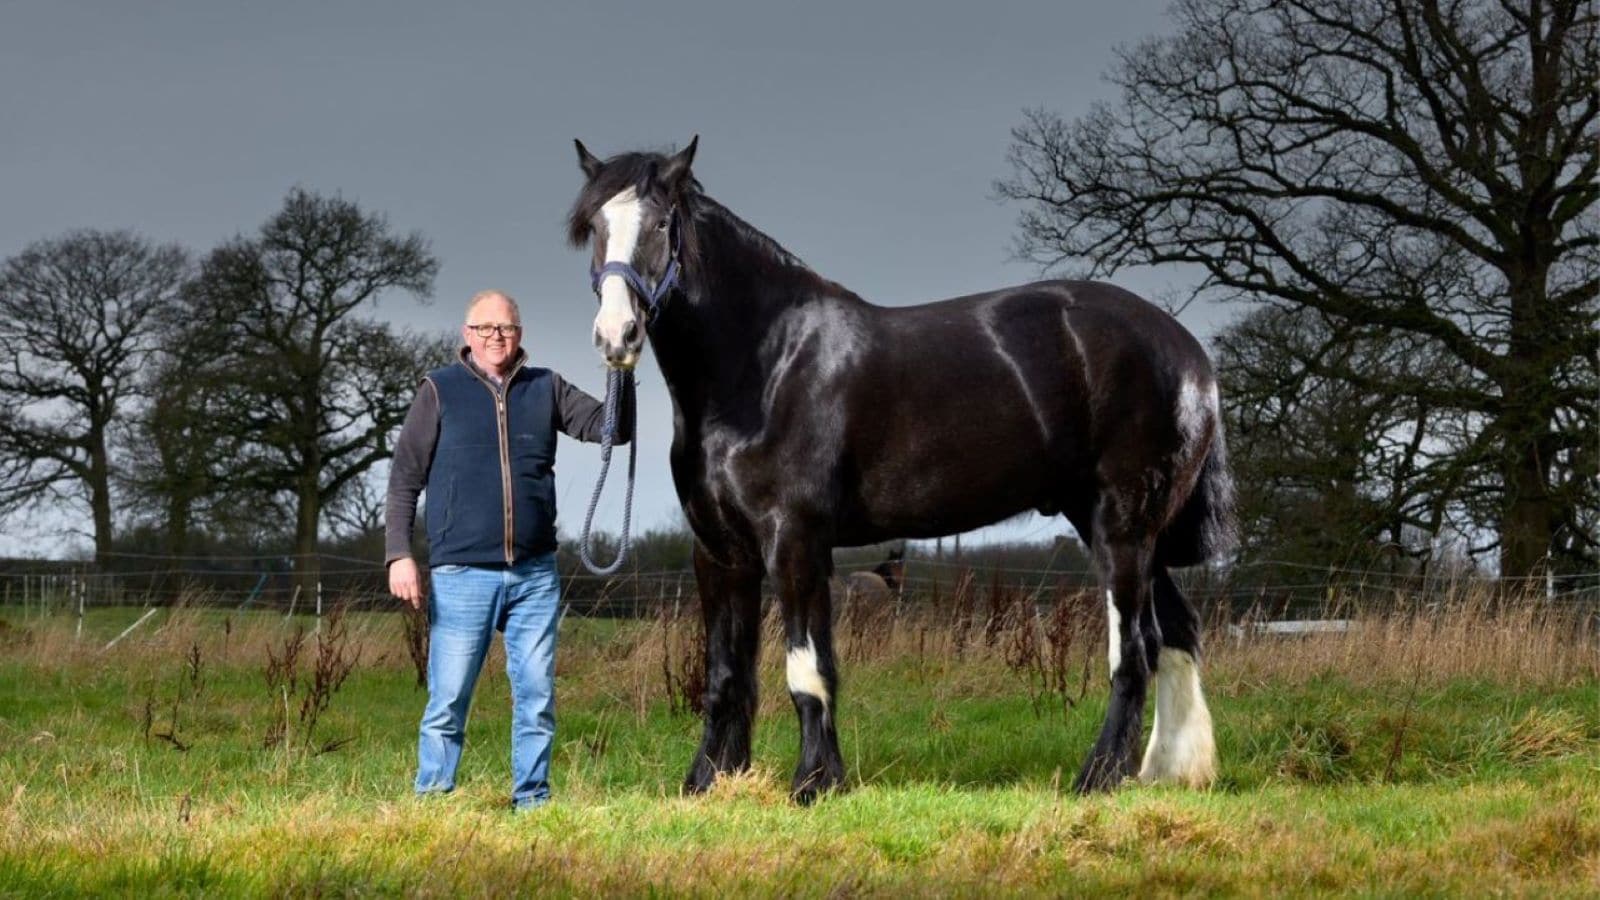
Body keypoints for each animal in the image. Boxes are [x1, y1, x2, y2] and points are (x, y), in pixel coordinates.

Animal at [567, 137, 1236, 801]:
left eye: (661, 224)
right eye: (594, 226)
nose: (617, 335)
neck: (765, 365)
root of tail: (1188, 353)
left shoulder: (795, 541)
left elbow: (807, 670)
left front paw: (815, 783)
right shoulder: (719, 551)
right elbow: (726, 674)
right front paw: (708, 780)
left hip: (1123, 526)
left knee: (1136, 649)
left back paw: (1097, 776)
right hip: (1123, 529)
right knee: (1178, 632)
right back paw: (1171, 770)